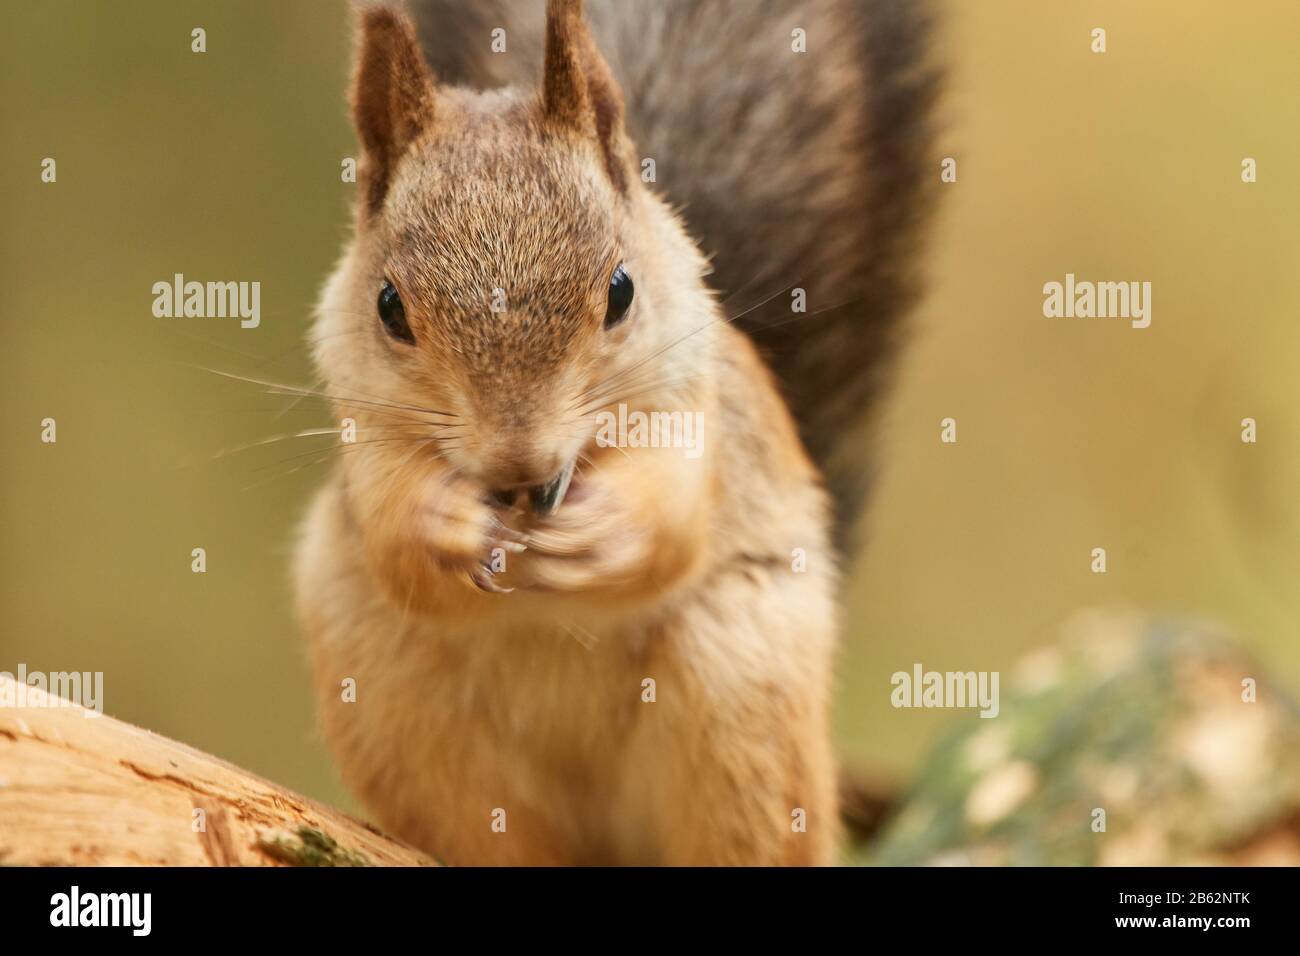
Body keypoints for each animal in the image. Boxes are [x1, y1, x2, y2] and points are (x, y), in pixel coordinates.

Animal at [295, 0, 935, 865]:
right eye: (389, 307)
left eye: (622, 291)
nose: (520, 465)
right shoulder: (365, 438)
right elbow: (395, 541)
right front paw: (444, 524)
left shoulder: (704, 416)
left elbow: (673, 520)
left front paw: (602, 532)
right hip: (399, 704)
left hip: (738, 697)